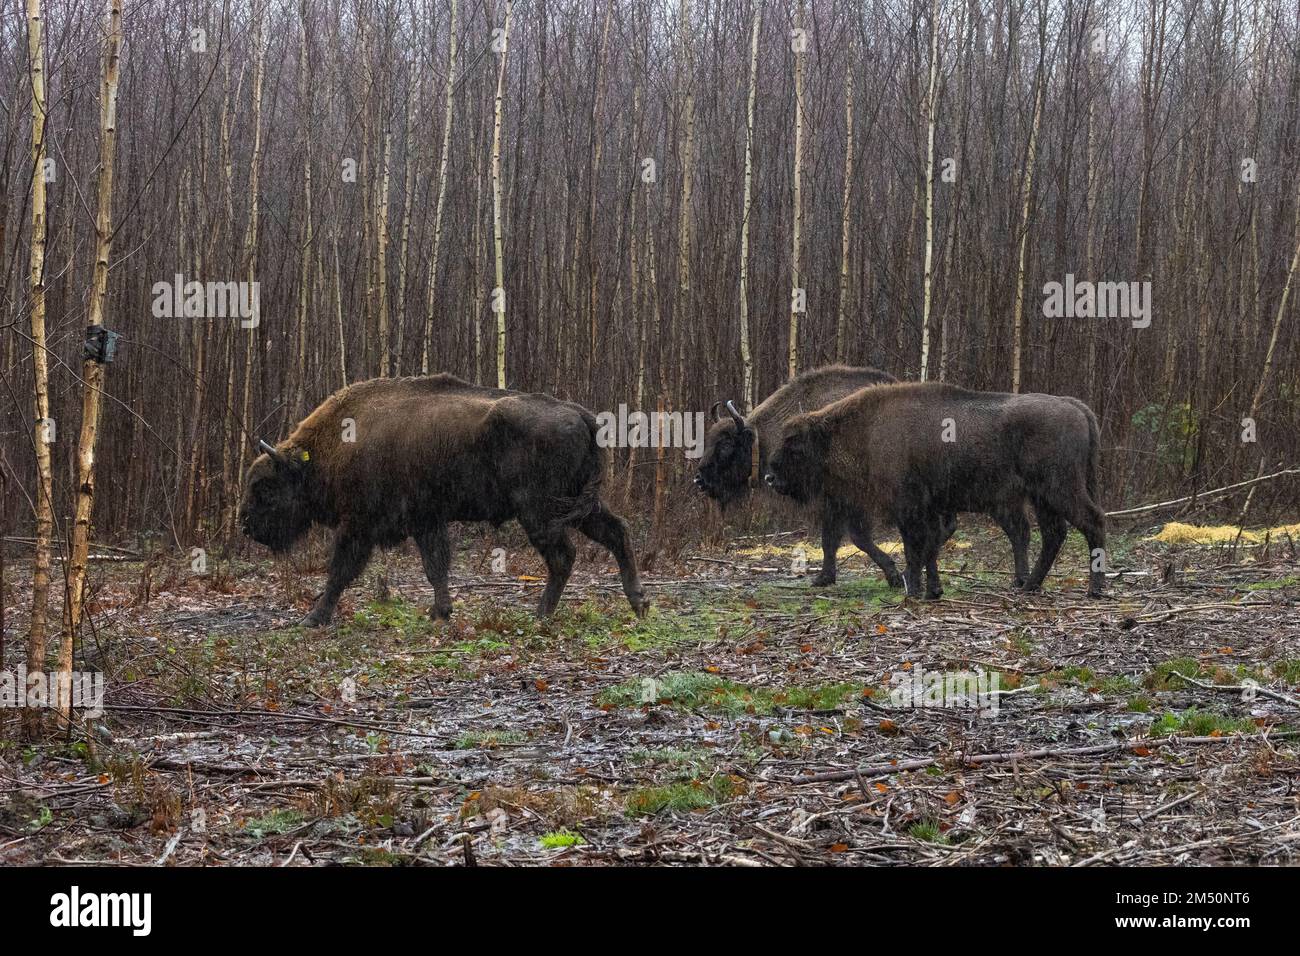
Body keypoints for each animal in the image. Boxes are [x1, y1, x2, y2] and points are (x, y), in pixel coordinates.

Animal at [239, 374, 648, 625]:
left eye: (266, 487)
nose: (245, 525)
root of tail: (583, 415)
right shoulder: (427, 521)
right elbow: (436, 566)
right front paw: (441, 612)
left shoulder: (358, 525)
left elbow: (340, 570)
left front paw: (312, 618)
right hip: (578, 506)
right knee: (617, 532)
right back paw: (639, 602)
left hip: (540, 511)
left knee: (564, 556)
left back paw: (541, 614)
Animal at [695, 365, 950, 589]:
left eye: (726, 445)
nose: (699, 480)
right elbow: (832, 539)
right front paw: (824, 578)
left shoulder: (842, 499)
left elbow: (853, 538)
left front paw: (892, 575)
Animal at [764, 382, 1106, 600]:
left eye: (794, 445)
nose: (770, 476)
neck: (864, 430)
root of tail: (1073, 405)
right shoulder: (926, 508)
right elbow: (927, 546)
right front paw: (932, 590)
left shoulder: (907, 506)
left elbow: (915, 546)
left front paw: (914, 589)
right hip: (1040, 497)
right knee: (1052, 534)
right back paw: (1029, 586)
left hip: (1059, 488)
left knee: (1092, 521)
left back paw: (1094, 589)